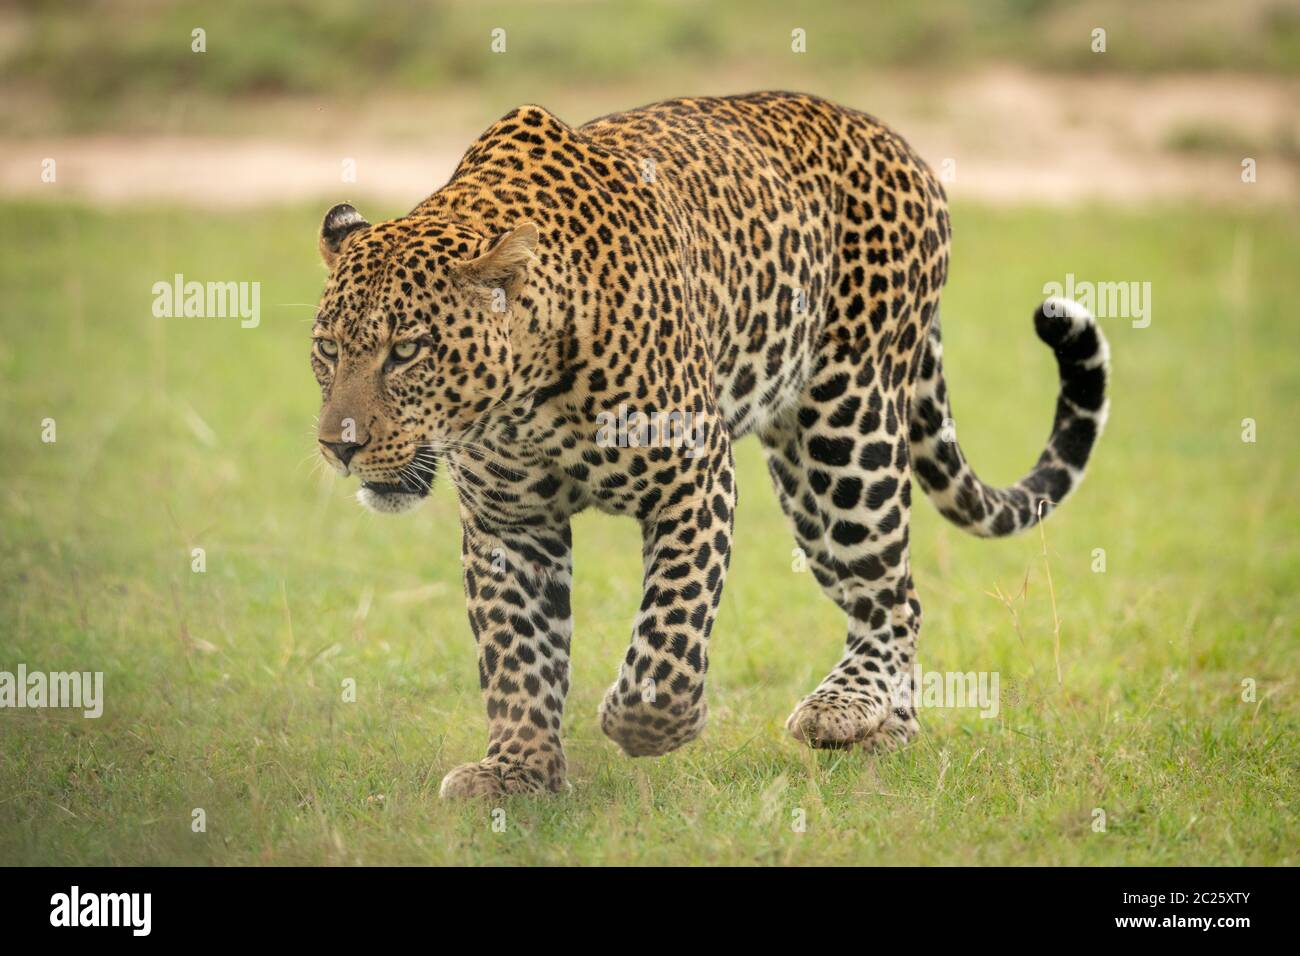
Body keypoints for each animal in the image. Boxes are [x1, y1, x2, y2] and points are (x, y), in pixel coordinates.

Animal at [309, 92, 1110, 798]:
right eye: (327, 349)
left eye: (407, 350)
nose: (336, 446)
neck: (524, 398)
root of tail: (893, 140)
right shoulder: (511, 522)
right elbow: (517, 656)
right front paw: (518, 774)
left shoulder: (692, 477)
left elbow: (673, 619)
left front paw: (646, 722)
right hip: (802, 469)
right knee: (884, 593)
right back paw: (885, 727)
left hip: (847, 428)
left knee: (893, 596)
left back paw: (846, 712)